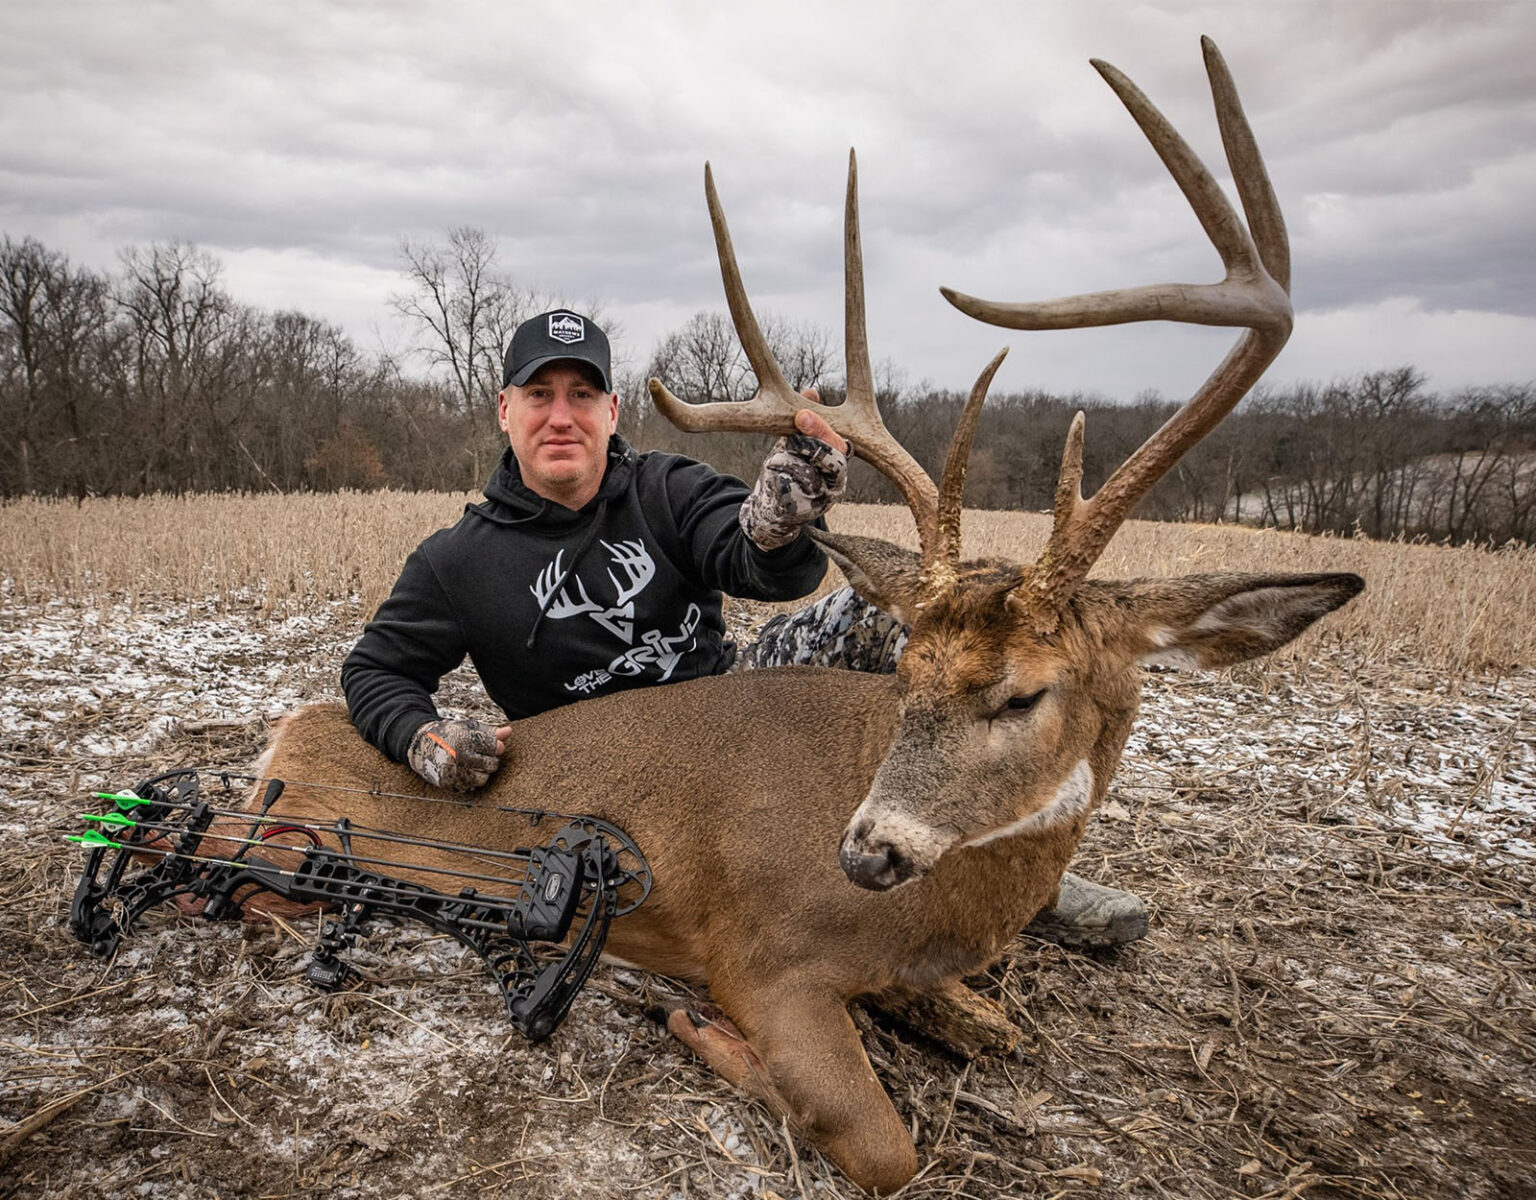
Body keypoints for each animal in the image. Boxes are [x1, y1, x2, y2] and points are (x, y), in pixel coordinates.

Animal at [247, 40, 1361, 1195]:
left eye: (1024, 694)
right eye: (907, 676)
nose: (865, 852)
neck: (934, 911)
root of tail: (285, 734)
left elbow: (999, 1033)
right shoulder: (765, 959)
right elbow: (880, 1144)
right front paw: (695, 1027)